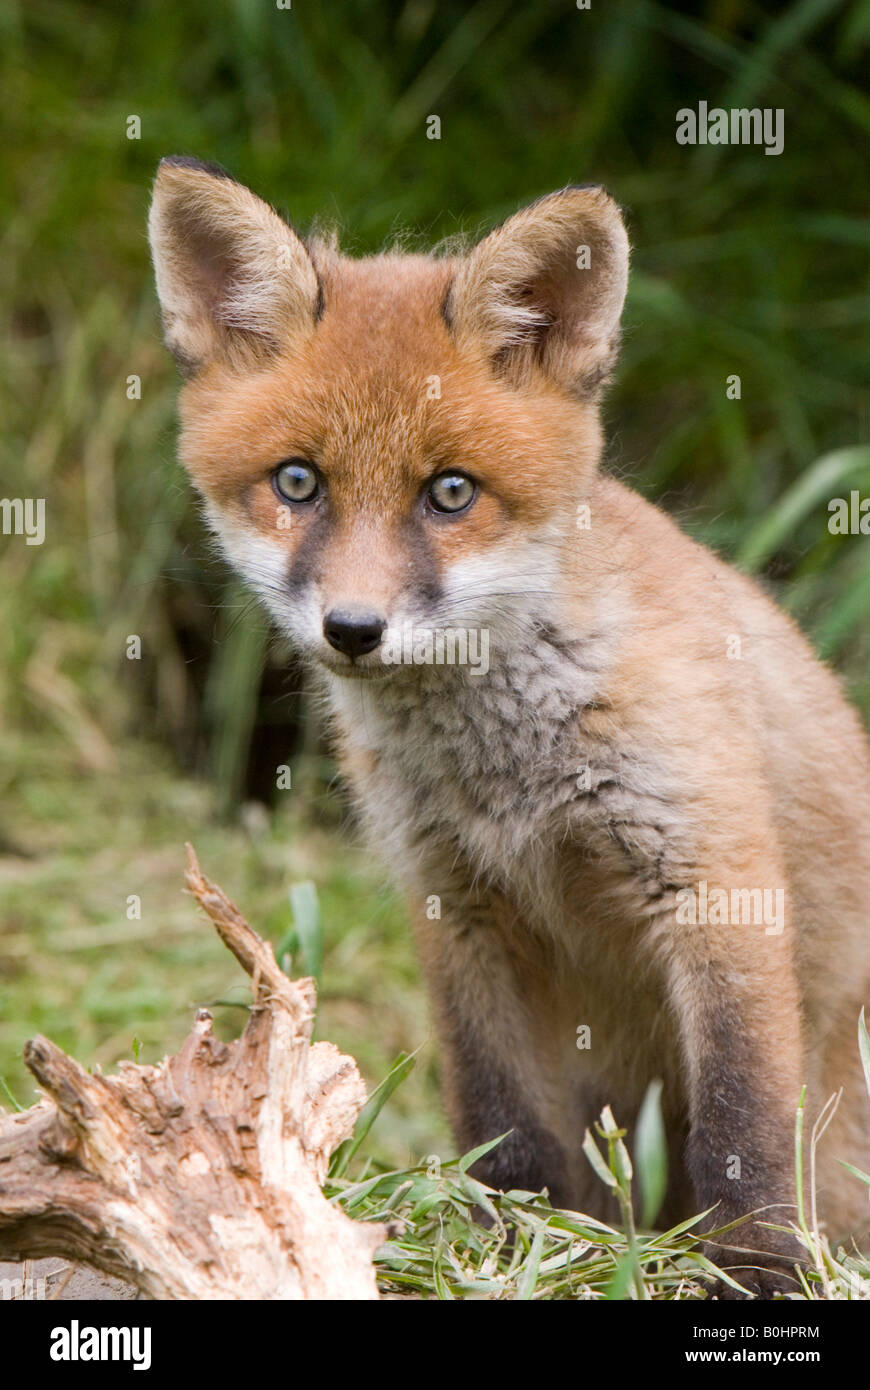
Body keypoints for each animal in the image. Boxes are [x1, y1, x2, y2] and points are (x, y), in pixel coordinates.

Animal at [149, 157, 870, 1297]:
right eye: (298, 483)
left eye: (451, 493)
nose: (354, 629)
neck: (511, 774)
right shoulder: (457, 903)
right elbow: (503, 1121)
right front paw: (505, 1248)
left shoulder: (717, 881)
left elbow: (743, 1119)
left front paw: (759, 1270)